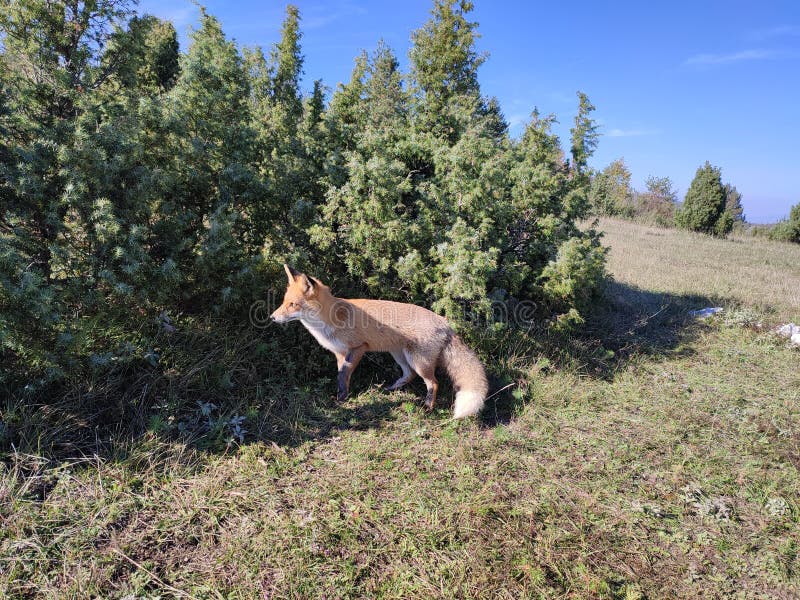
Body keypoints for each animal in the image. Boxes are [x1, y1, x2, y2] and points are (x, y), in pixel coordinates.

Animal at [270, 264, 488, 418]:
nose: (272, 318)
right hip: (399, 355)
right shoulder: (340, 353)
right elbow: (341, 377)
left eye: (293, 304)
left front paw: (342, 400)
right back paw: (390, 389)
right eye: (284, 302)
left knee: (433, 383)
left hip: (419, 361)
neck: (332, 319)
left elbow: (344, 374)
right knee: (409, 375)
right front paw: (342, 397)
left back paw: (427, 408)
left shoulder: (359, 347)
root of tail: (445, 322)